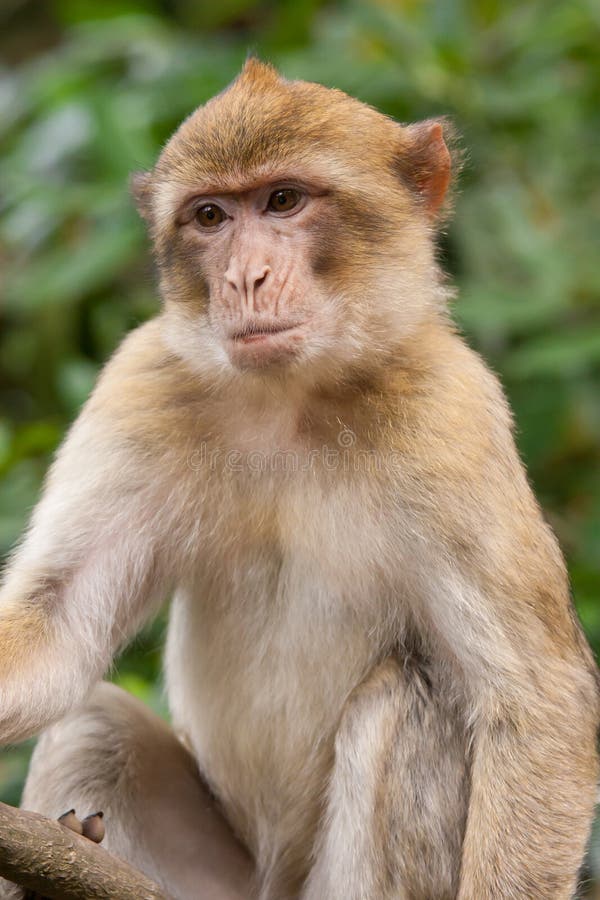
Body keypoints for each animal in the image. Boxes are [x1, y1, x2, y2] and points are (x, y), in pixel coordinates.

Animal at [0, 58, 598, 900]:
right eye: (210, 216)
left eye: (283, 200)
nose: (245, 279)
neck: (292, 397)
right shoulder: (140, 382)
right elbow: (55, 631)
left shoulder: (453, 411)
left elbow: (538, 703)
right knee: (94, 721)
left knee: (405, 697)